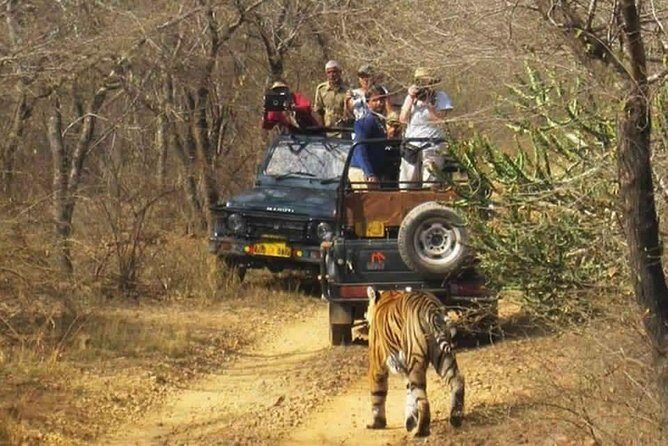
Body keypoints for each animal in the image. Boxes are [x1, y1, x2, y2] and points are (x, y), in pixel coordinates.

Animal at [365, 287, 465, 437]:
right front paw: (410, 421)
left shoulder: (377, 364)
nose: (365, 313)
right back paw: (456, 417)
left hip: (416, 360)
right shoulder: (405, 368)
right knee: (457, 380)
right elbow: (409, 393)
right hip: (443, 356)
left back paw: (421, 431)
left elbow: (377, 394)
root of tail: (431, 306)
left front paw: (377, 423)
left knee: (423, 399)